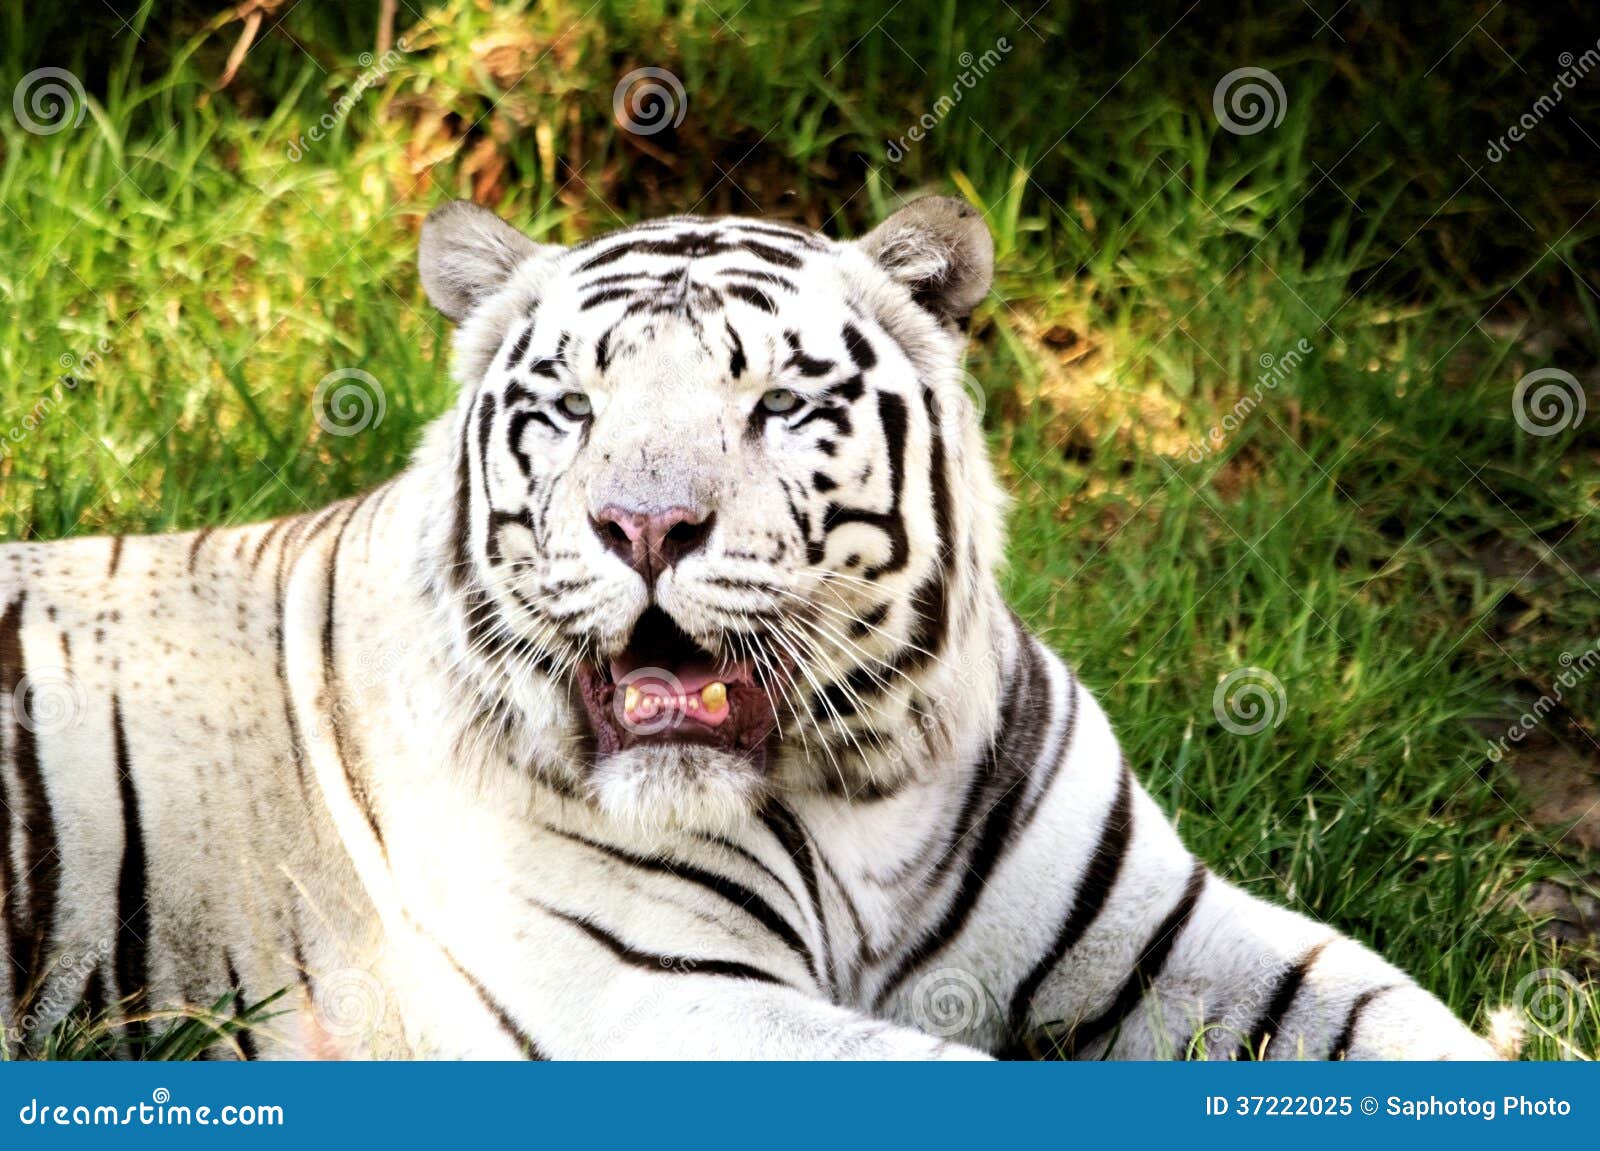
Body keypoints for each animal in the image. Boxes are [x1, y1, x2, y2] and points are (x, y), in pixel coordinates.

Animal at [0, 196, 1497, 1060]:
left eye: (778, 402)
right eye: (573, 407)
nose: (646, 526)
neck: (858, 789)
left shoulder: (1159, 929)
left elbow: (1395, 1017)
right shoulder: (653, 993)